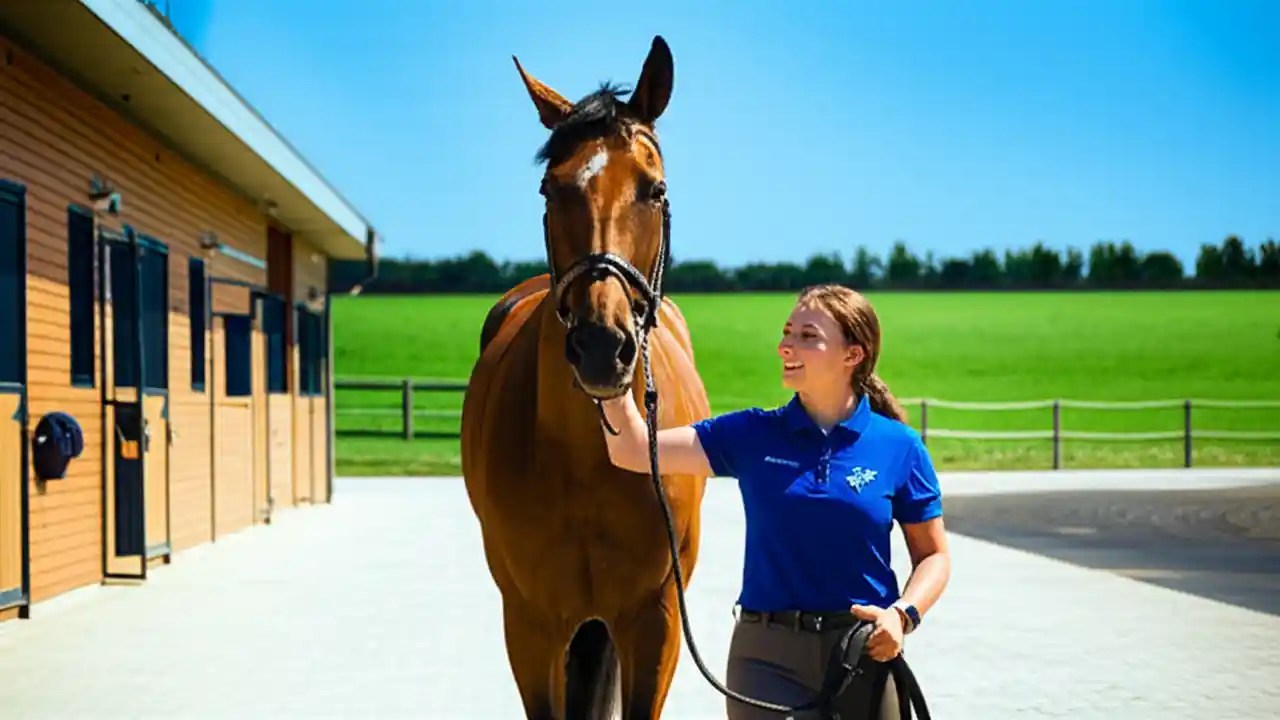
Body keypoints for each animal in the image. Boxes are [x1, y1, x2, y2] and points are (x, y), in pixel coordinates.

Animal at [460, 36, 712, 720]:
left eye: (654, 189)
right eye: (551, 189)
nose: (602, 347)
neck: (584, 457)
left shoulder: (655, 622)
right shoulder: (529, 625)